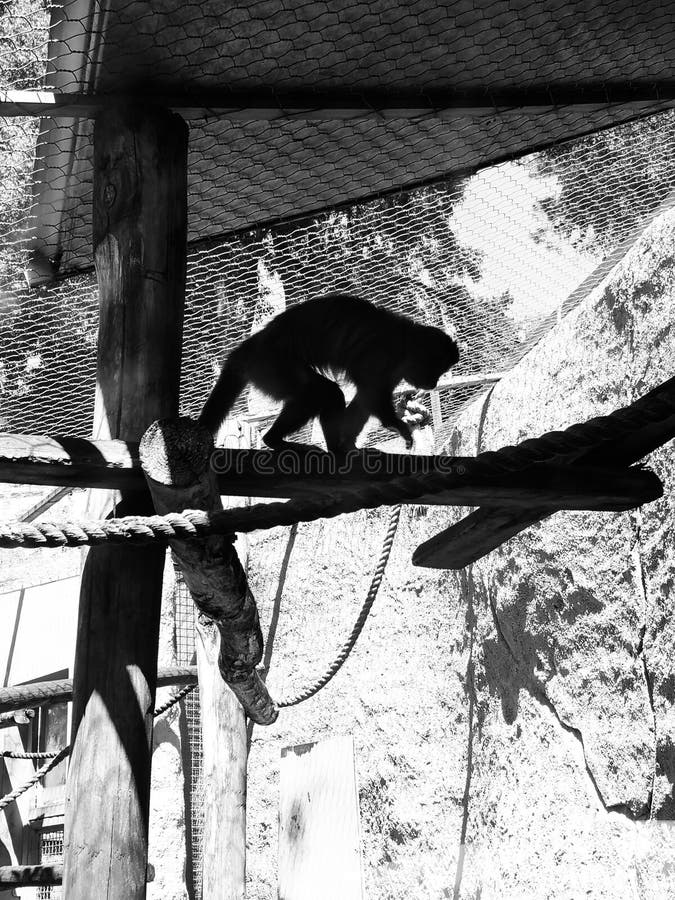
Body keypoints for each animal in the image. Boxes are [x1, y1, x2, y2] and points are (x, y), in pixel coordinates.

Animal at [199, 293, 459, 453]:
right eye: (436, 370)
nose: (434, 383)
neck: (405, 343)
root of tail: (247, 349)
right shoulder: (382, 355)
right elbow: (373, 397)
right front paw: (396, 425)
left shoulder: (395, 370)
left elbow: (366, 398)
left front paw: (351, 445)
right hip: (270, 364)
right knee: (320, 392)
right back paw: (279, 440)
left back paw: (337, 449)